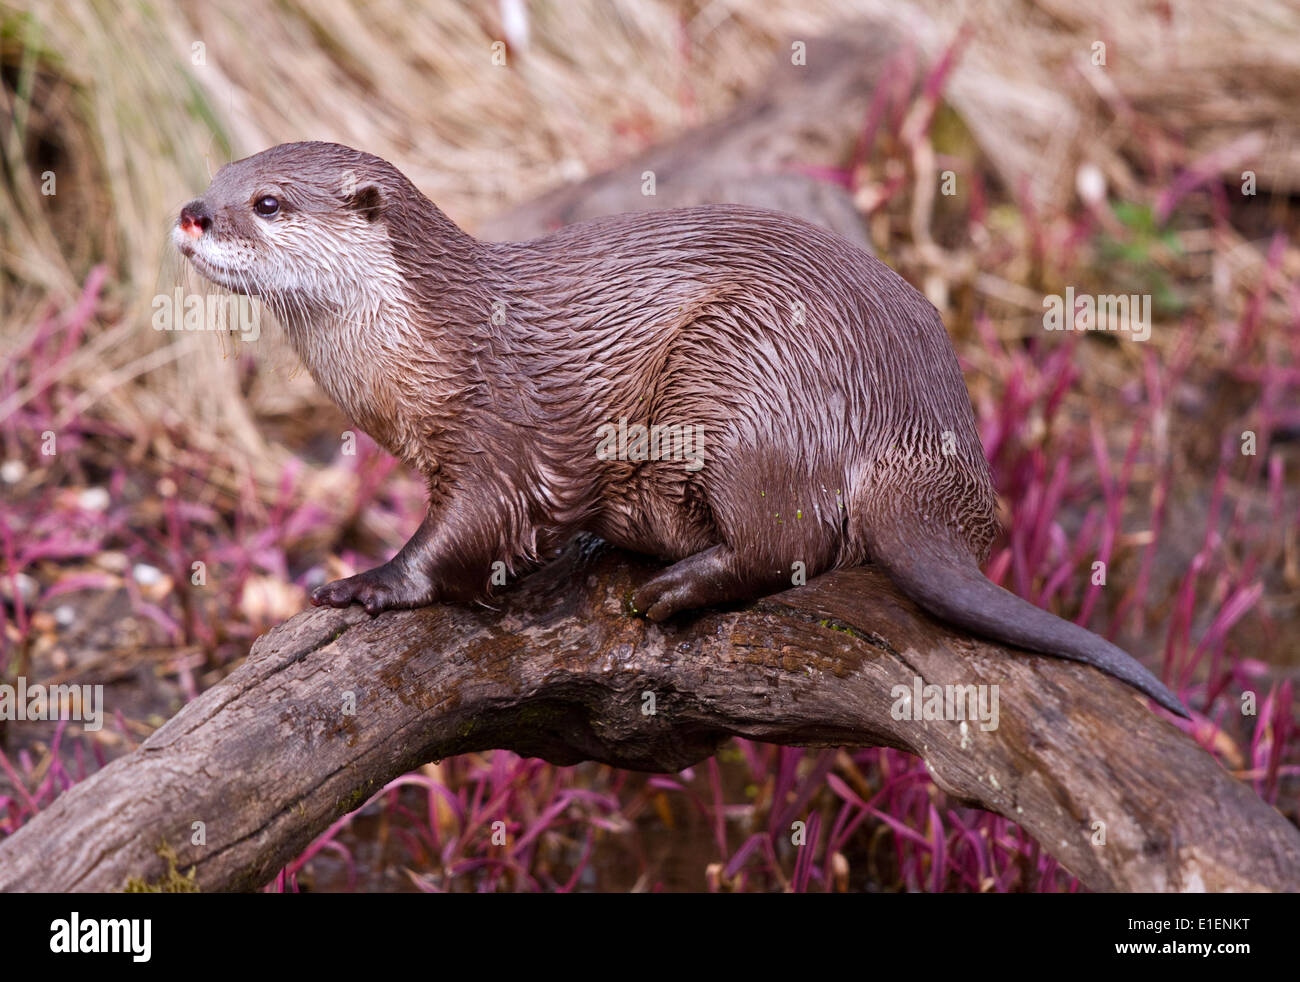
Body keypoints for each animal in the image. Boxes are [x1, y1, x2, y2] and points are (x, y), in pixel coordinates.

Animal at [174, 141, 1188, 717]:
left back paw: (672, 588)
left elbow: (463, 530)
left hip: (744, 376)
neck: (420, 344)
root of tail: (918, 434)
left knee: (790, 542)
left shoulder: (494, 426)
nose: (190, 213)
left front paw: (369, 582)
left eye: (267, 203)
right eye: (218, 178)